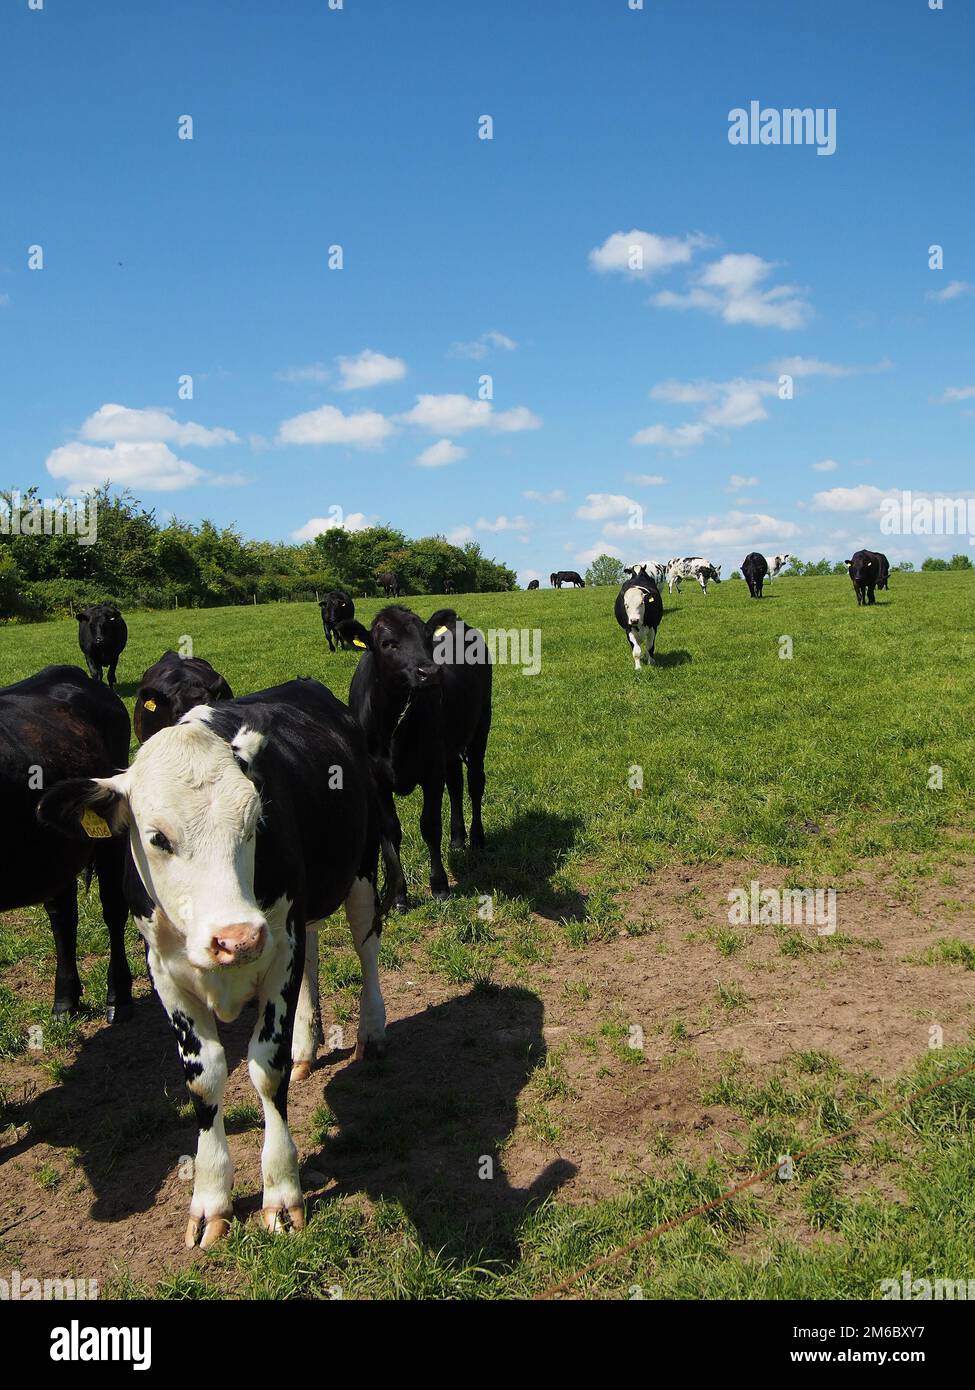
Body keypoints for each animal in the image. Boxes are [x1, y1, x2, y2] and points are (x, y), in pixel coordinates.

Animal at [38, 677, 394, 1248]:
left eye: (254, 822)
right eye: (157, 837)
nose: (238, 939)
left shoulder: (279, 947)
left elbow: (265, 1068)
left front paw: (281, 1192)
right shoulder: (165, 973)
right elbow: (204, 1076)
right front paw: (210, 1199)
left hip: (359, 868)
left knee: (366, 947)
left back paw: (372, 1032)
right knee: (315, 949)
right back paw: (306, 1046)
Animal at [349, 606, 492, 910]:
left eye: (427, 638)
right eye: (387, 643)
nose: (430, 672)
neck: (394, 723)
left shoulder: (431, 772)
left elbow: (430, 825)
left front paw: (439, 885)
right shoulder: (377, 780)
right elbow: (391, 830)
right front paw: (399, 895)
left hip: (480, 727)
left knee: (474, 783)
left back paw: (476, 838)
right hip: (449, 749)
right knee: (456, 785)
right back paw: (457, 839)